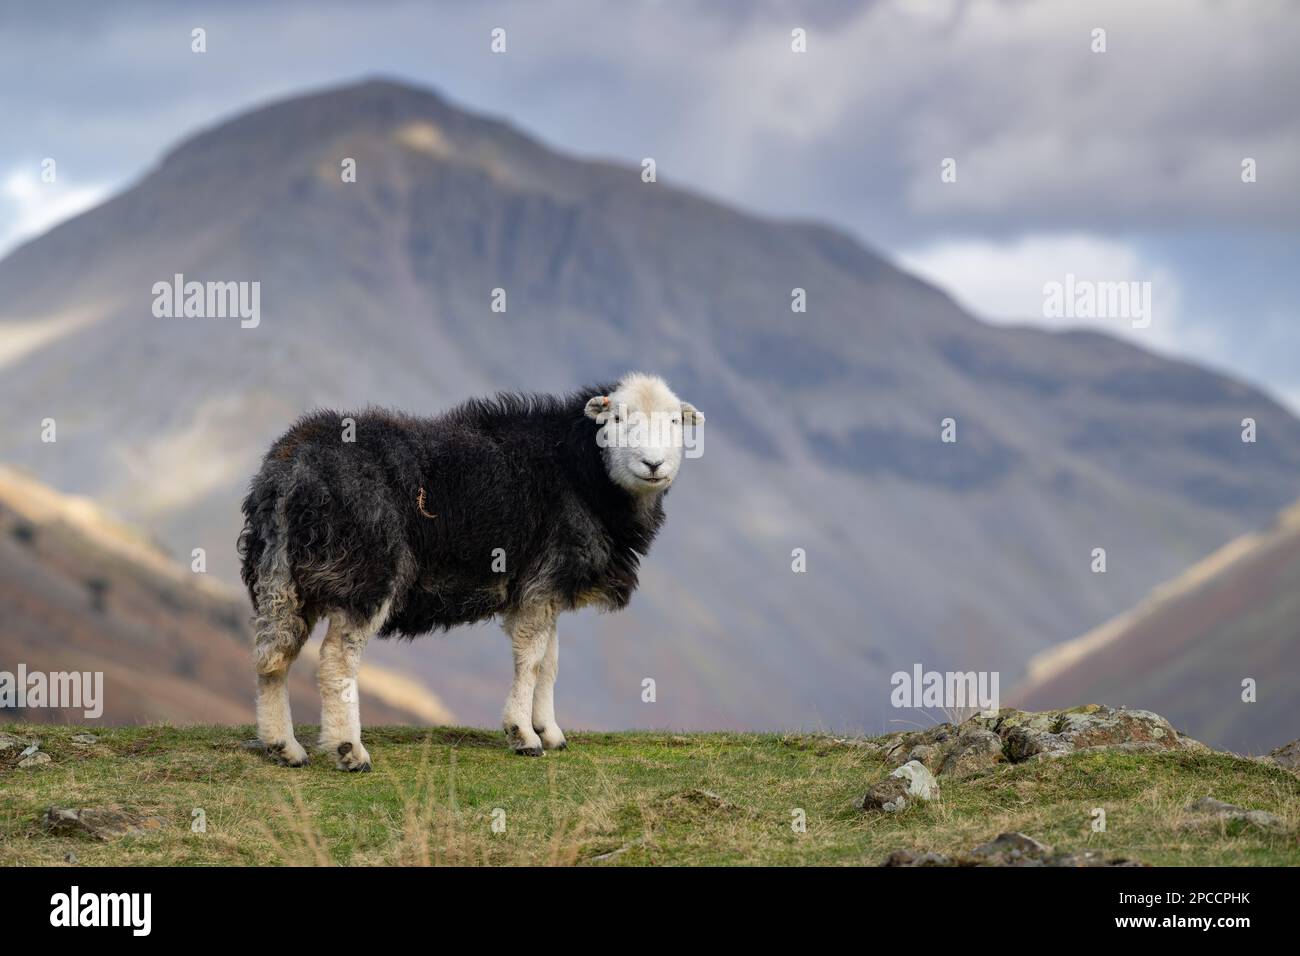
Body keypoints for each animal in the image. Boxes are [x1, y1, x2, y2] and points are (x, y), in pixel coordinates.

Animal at [238, 372, 704, 768]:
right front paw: (524, 736)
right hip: (365, 574)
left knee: (272, 656)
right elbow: (531, 660)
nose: (653, 465)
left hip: (280, 578)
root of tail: (291, 469)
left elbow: (549, 663)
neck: (580, 471)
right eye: (617, 417)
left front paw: (550, 732)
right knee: (336, 659)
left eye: (675, 422)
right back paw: (350, 750)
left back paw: (284, 747)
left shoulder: (545, 591)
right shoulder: (542, 584)